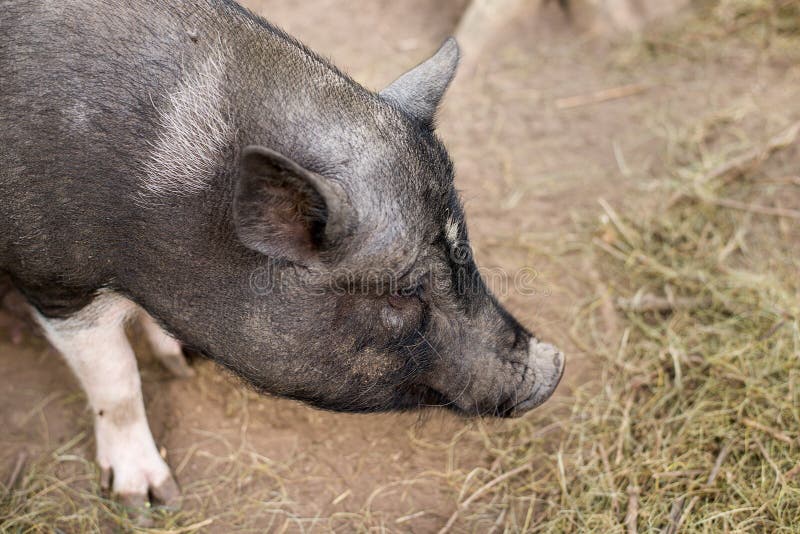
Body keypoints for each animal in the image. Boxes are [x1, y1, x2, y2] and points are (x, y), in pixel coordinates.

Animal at [0, 0, 565, 508]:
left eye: (463, 244)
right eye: (403, 292)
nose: (554, 366)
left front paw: (183, 363)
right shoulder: (56, 278)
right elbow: (117, 380)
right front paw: (152, 501)